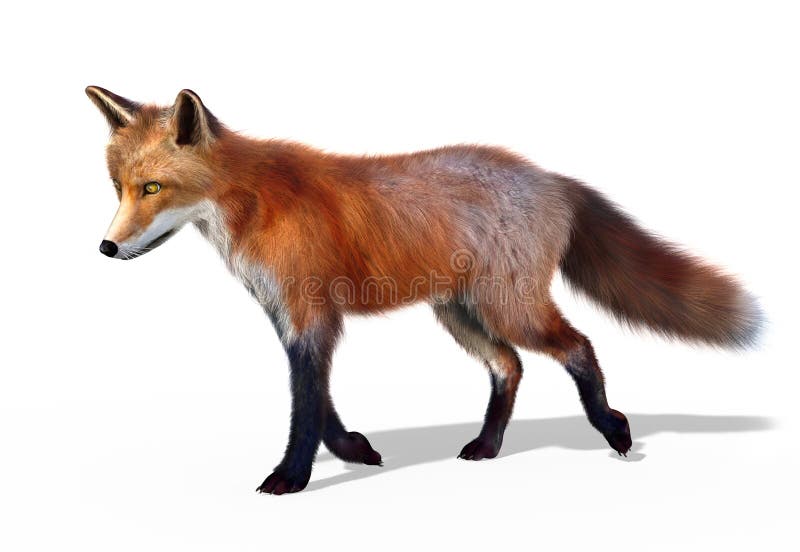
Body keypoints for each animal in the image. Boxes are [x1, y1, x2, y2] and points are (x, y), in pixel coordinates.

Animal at [86, 86, 762, 494]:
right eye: (118, 187)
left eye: (153, 188)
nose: (106, 248)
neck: (253, 203)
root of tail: (551, 177)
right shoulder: (293, 318)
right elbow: (321, 400)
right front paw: (355, 450)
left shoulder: (310, 314)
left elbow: (305, 406)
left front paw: (291, 477)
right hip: (459, 313)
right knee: (510, 368)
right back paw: (488, 445)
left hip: (508, 309)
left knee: (579, 347)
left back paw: (613, 428)